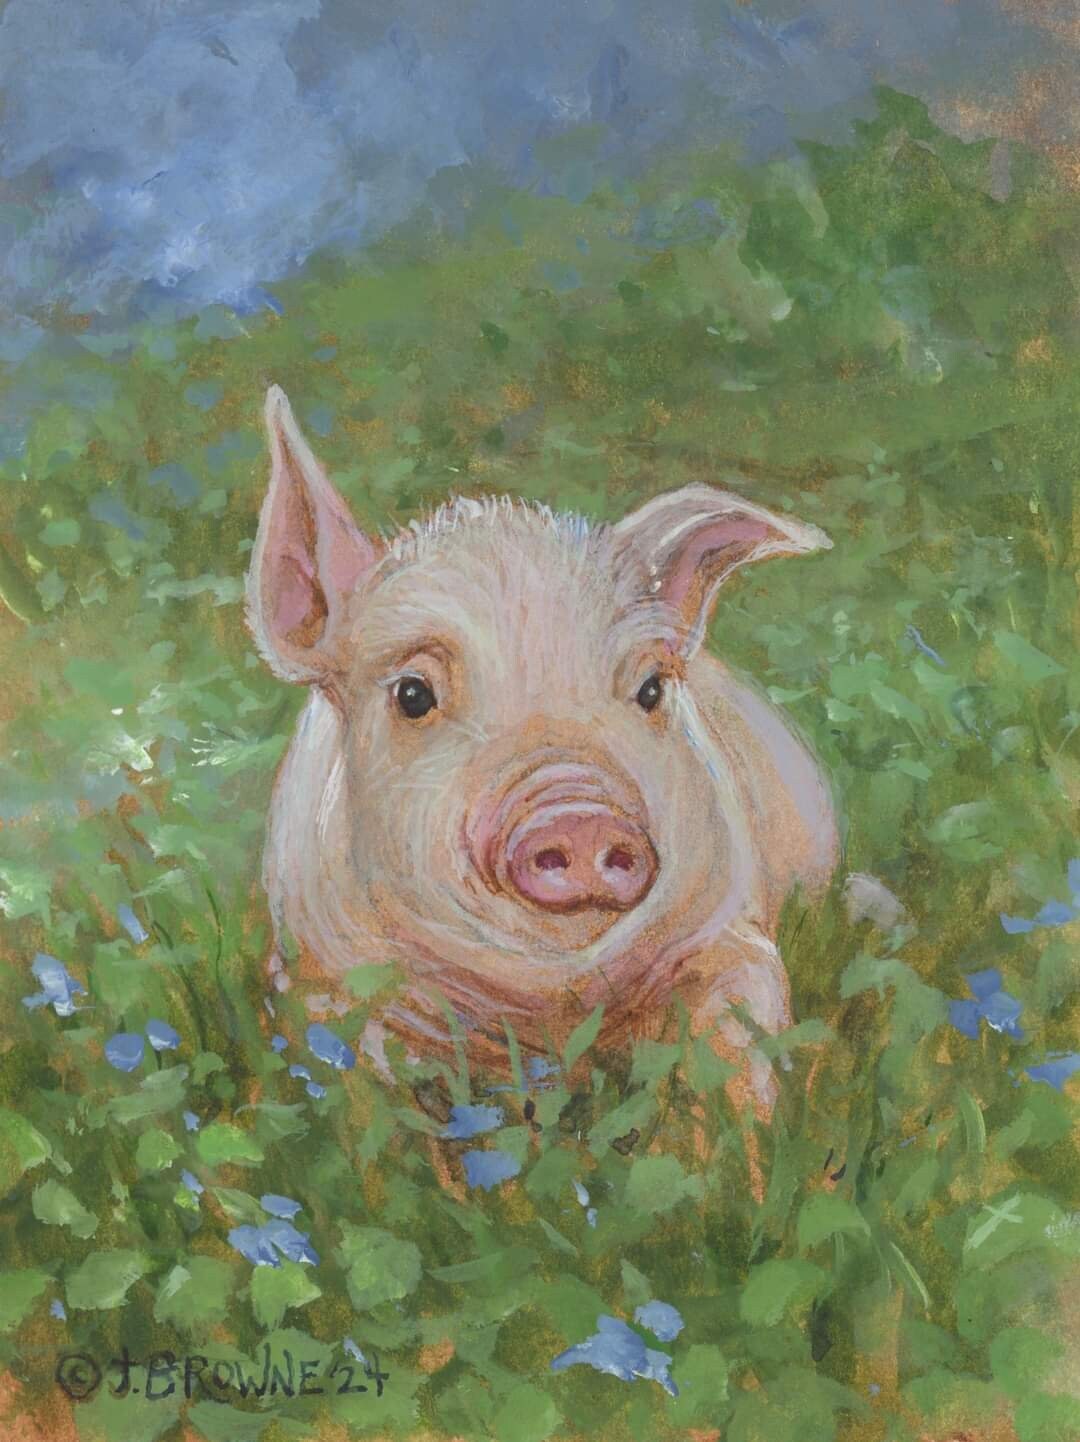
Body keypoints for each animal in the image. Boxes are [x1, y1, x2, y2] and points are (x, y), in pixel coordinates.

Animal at [246, 385, 839, 1106]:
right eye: (413, 693)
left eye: (649, 688)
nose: (578, 812)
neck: (546, 1008)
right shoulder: (314, 975)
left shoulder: (732, 929)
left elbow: (735, 1034)